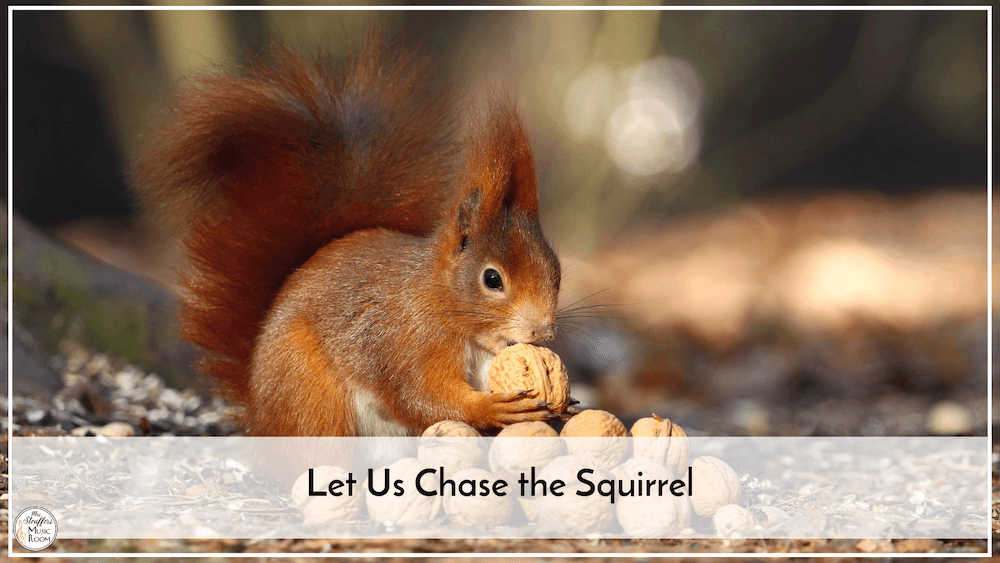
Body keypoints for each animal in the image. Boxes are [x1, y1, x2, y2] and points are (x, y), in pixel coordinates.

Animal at [135, 30, 563, 437]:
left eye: (557, 272)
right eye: (492, 279)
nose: (541, 331)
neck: (441, 301)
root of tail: (259, 416)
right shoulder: (407, 340)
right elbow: (420, 394)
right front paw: (491, 408)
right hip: (310, 394)